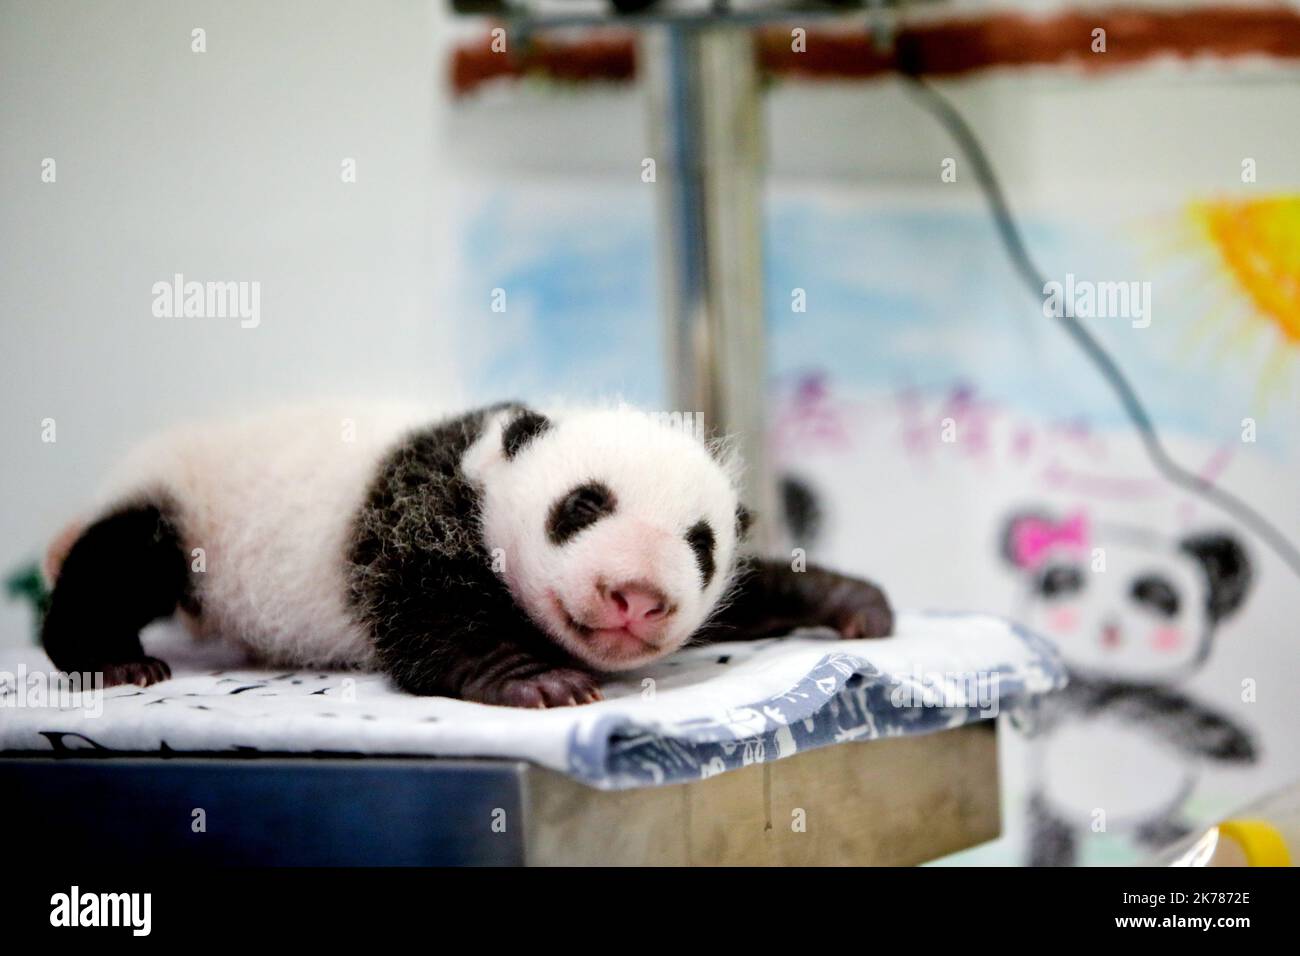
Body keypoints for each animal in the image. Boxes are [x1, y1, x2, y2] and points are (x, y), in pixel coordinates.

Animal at [40, 402, 894, 708]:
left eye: (703, 546)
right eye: (582, 507)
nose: (637, 597)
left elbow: (754, 595)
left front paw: (852, 603)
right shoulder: (415, 507)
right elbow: (428, 607)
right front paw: (538, 680)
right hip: (187, 505)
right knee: (118, 559)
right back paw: (111, 657)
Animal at [1001, 509, 1256, 865]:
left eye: (1155, 595)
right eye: (1066, 583)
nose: (1109, 629)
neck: (1108, 682)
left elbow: (1170, 711)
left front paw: (1235, 744)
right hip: (1050, 807)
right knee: (1047, 828)